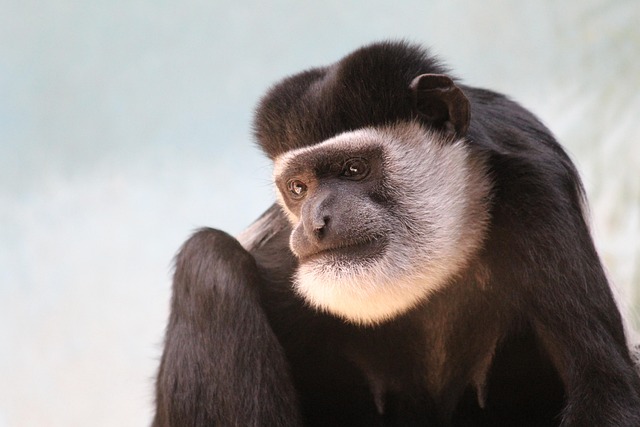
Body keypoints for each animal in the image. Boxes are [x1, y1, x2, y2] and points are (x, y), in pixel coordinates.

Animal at [152, 41, 640, 426]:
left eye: (354, 169)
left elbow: (606, 391)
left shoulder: (538, 194)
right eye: (299, 188)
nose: (315, 224)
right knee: (208, 260)